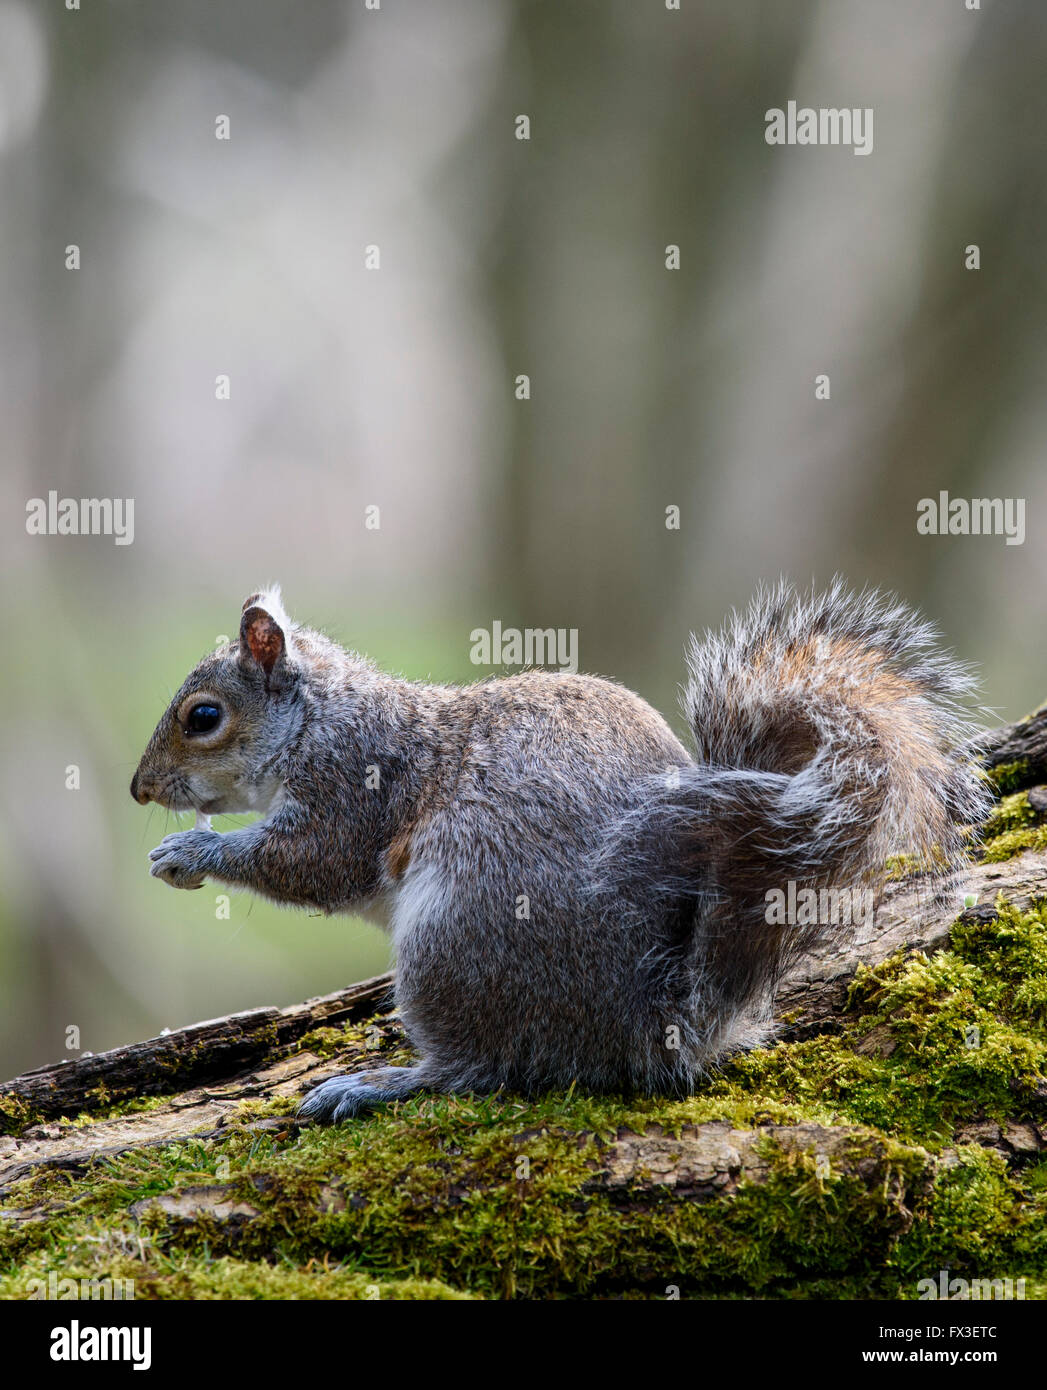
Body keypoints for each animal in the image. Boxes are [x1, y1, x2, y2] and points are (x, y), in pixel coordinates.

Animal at [131, 581, 989, 1122]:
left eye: (203, 716)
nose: (140, 790)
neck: (319, 720)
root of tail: (653, 1024)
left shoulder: (353, 786)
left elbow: (312, 863)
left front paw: (191, 851)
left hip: (454, 936)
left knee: (474, 1069)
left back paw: (381, 1082)